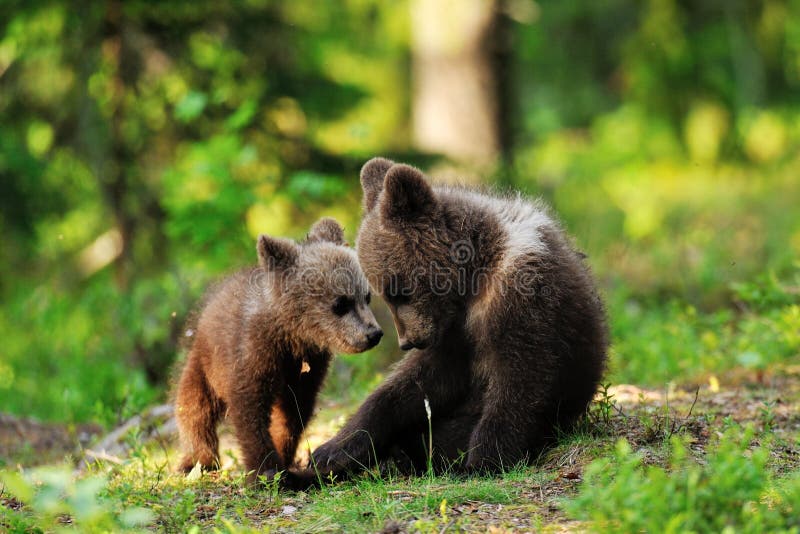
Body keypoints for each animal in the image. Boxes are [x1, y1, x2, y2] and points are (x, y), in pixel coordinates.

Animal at [174, 217, 383, 485]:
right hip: (203, 361)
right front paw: (265, 469)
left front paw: (283, 458)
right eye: (340, 304)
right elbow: (249, 409)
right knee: (193, 408)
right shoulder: (253, 353)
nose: (373, 334)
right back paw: (197, 461)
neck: (292, 336)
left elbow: (293, 412)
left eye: (366, 296)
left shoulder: (308, 366)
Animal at [310, 158, 608, 476]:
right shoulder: (452, 332)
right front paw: (332, 450)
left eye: (399, 291)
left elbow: (522, 377)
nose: (407, 342)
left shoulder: (524, 296)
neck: (474, 279)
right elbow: (418, 383)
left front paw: (483, 459)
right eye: (382, 294)